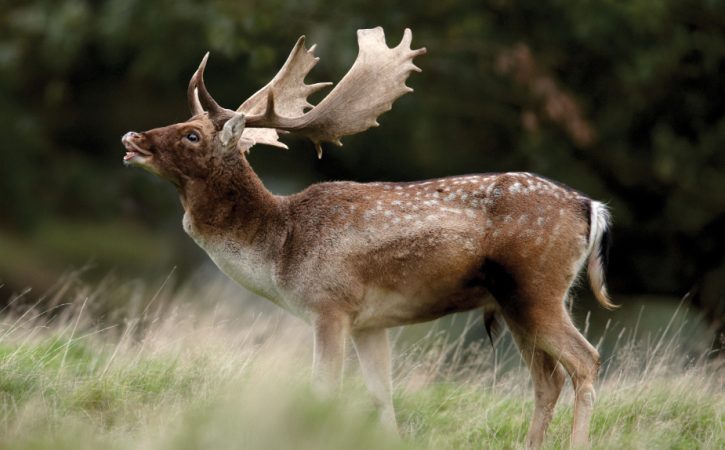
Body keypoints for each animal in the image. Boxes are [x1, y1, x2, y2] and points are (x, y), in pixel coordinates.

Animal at [121, 27, 615, 449]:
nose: (131, 137)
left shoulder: (330, 304)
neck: (280, 247)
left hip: (536, 287)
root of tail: (591, 208)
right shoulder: (371, 323)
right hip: (517, 301)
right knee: (547, 379)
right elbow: (382, 397)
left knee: (585, 361)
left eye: (192, 134)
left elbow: (325, 391)